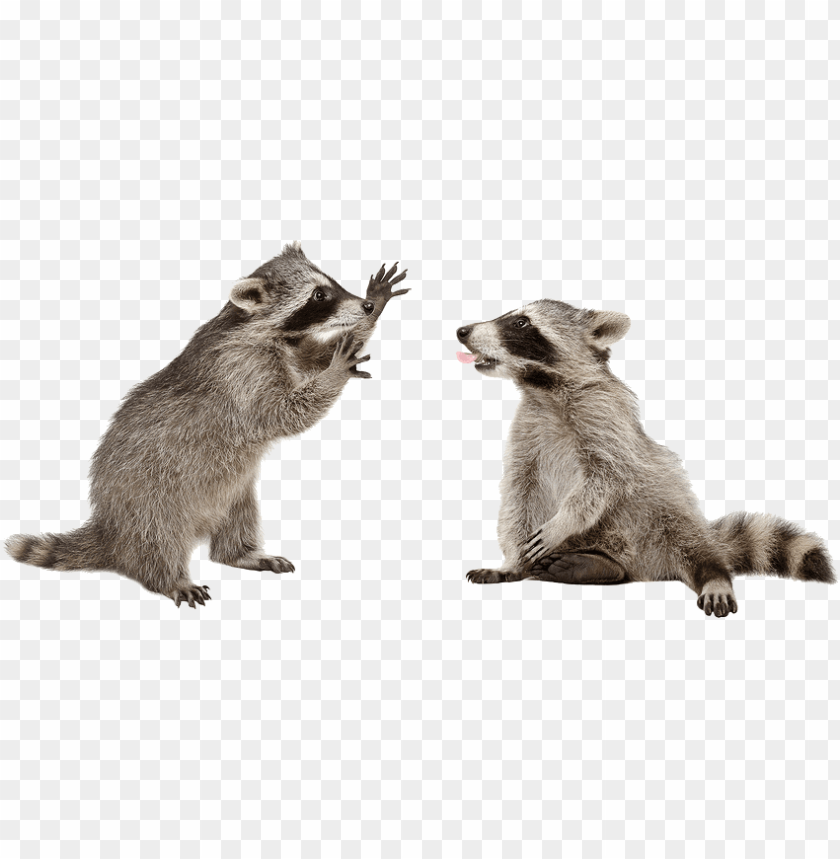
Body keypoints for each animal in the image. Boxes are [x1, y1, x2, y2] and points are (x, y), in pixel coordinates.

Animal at [6, 244, 408, 607]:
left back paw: (241, 553)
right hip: (151, 497)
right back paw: (170, 578)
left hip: (234, 491)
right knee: (158, 541)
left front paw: (369, 315)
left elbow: (314, 357)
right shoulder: (241, 372)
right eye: (319, 295)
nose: (364, 306)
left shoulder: (289, 351)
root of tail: (110, 528)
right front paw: (336, 371)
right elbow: (284, 413)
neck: (258, 329)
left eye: (332, 284)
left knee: (239, 519)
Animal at [456, 300, 834, 616]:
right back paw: (589, 564)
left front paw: (562, 522)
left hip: (666, 519)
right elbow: (517, 495)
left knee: (695, 548)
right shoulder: (527, 435)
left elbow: (605, 480)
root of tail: (645, 567)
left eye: (521, 322)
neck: (543, 389)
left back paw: (713, 575)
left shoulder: (609, 423)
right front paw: (512, 559)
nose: (462, 331)